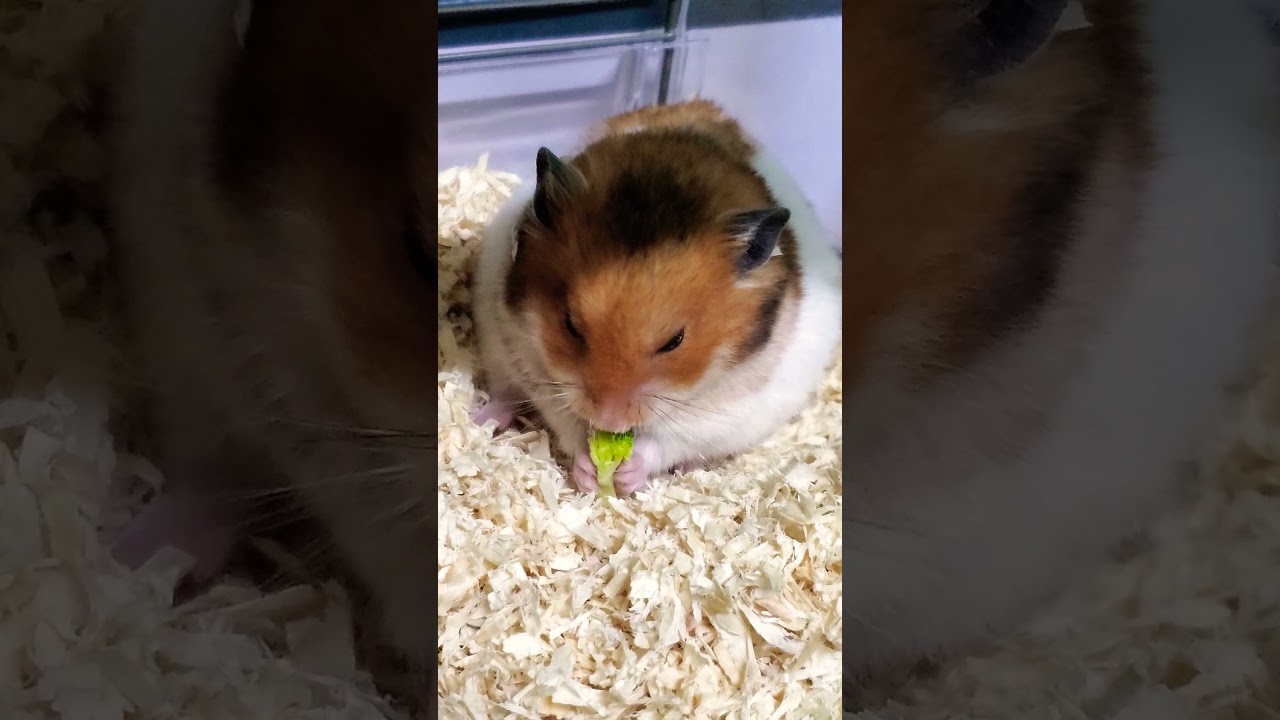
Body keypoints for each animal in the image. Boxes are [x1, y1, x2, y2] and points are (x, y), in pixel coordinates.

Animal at [470, 100, 843, 497]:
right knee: (507, 394)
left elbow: (667, 442)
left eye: (674, 341)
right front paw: (589, 470)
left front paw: (625, 473)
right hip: (497, 347)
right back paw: (481, 420)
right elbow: (567, 420)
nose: (608, 419)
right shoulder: (534, 365)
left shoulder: (722, 416)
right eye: (570, 324)